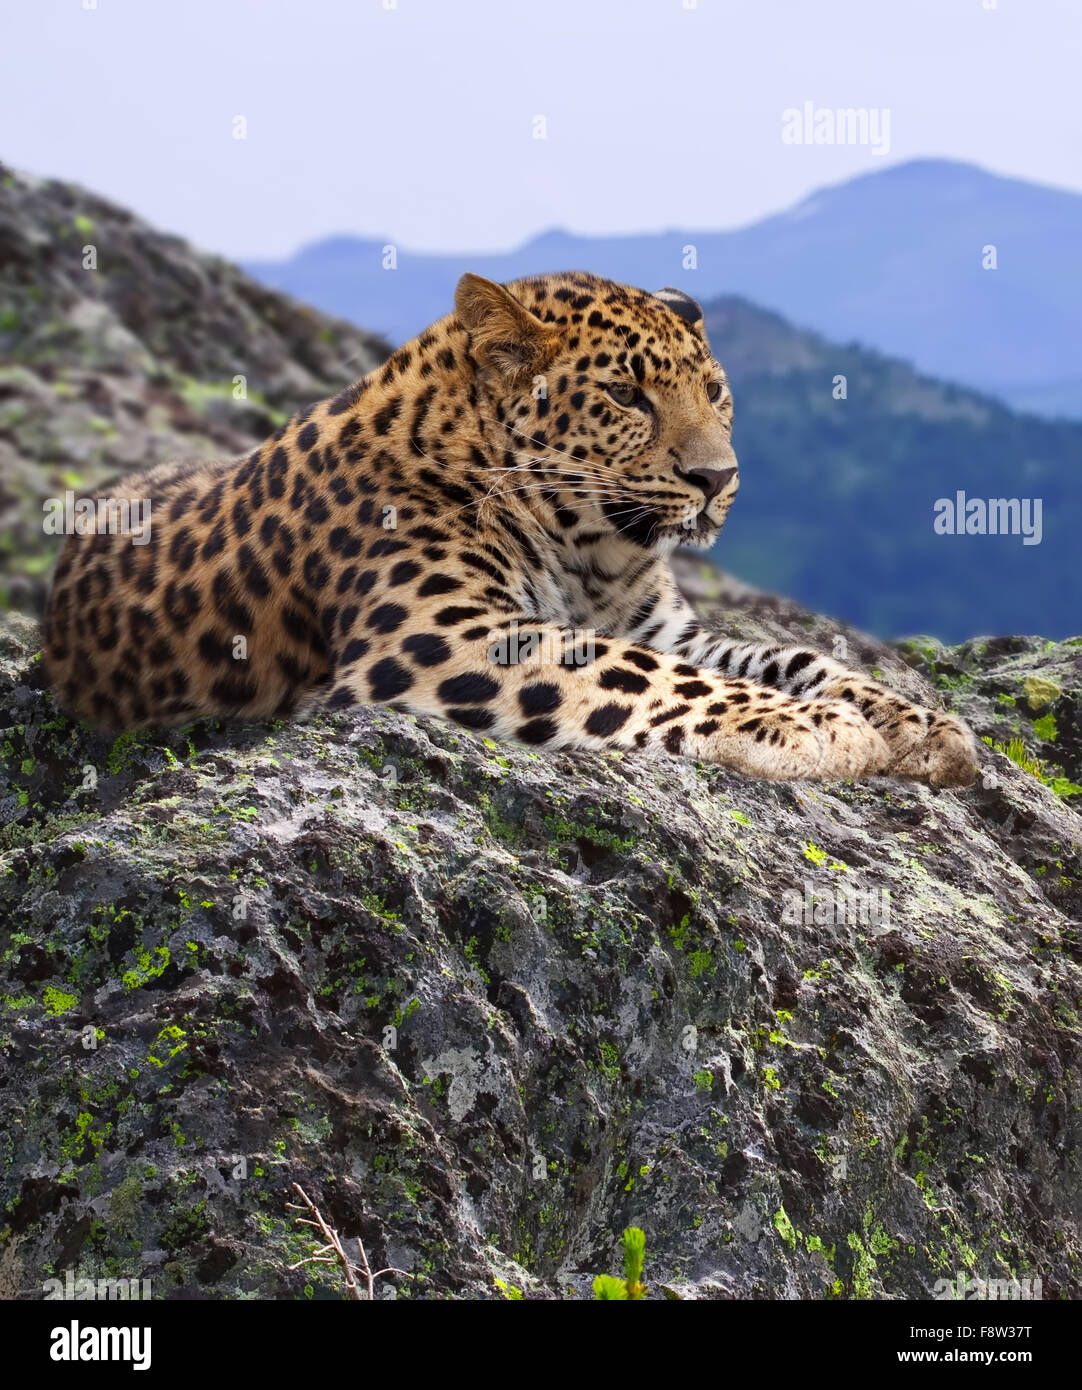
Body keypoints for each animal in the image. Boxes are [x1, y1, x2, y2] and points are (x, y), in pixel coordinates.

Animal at [42, 270, 976, 788]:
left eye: (714, 390)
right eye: (627, 396)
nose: (719, 479)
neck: (593, 550)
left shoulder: (664, 626)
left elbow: (787, 656)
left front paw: (917, 725)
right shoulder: (441, 632)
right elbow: (646, 674)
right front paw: (818, 730)